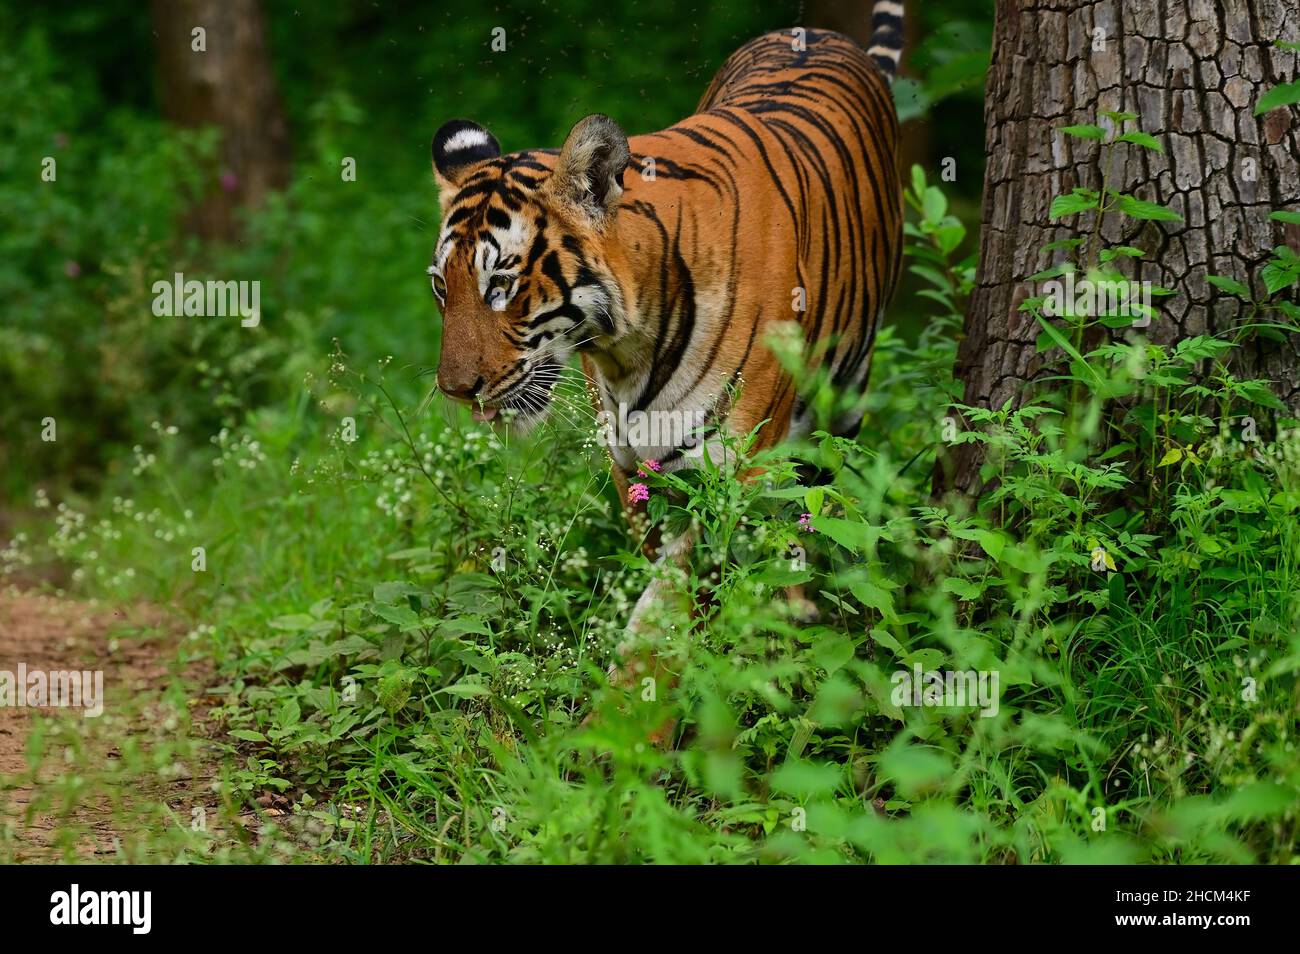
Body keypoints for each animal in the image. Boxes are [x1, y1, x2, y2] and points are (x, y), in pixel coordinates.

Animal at [428, 2, 905, 648]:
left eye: (500, 285)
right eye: (440, 288)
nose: (456, 391)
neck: (626, 349)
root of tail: (826, 34)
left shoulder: (734, 470)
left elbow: (673, 601)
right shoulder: (632, 465)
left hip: (840, 406)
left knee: (812, 507)